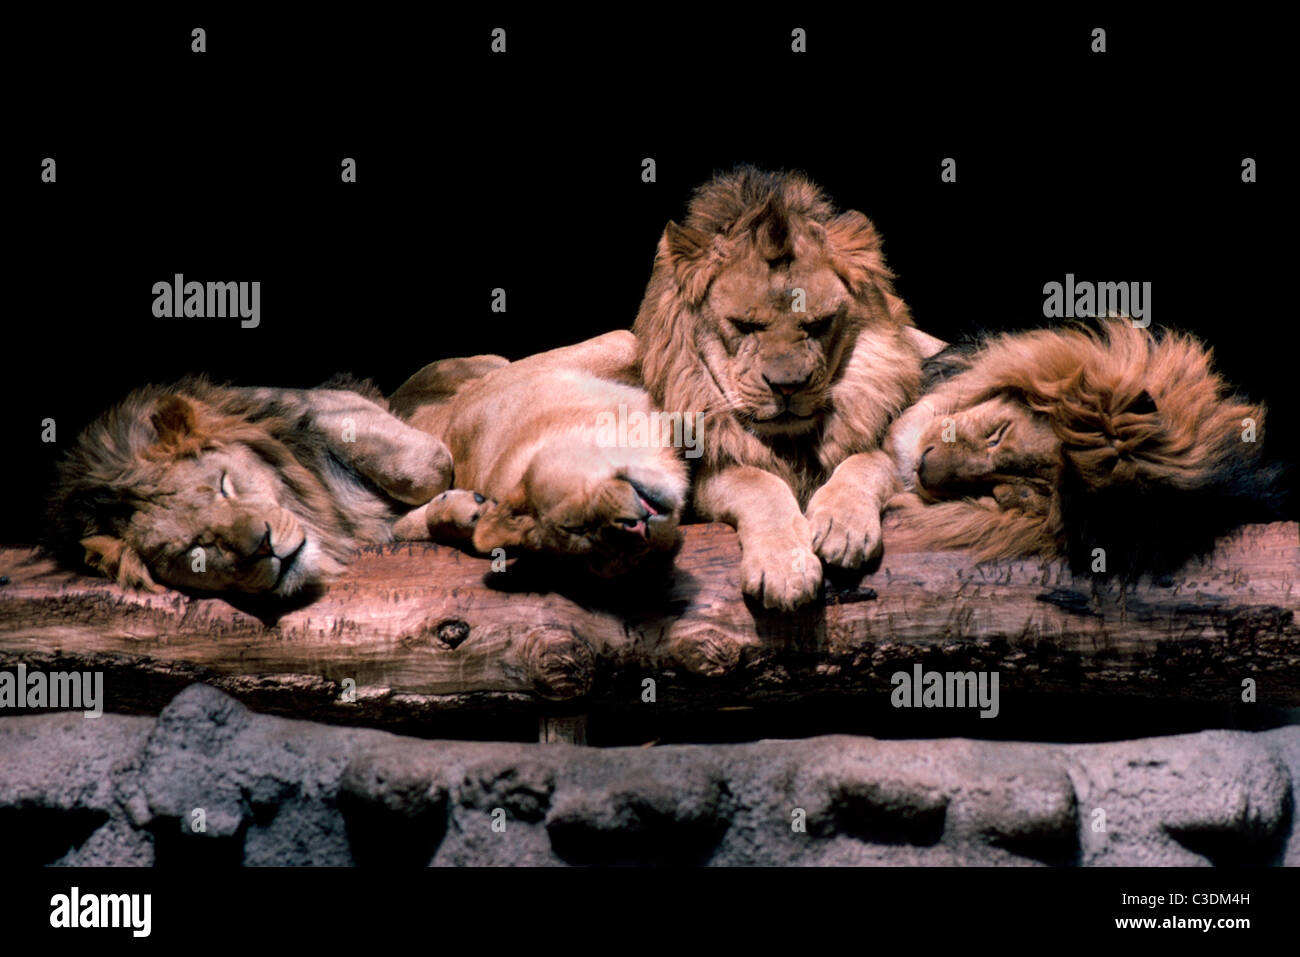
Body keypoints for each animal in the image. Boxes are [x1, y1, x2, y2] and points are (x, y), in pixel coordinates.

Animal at [632, 166, 934, 608]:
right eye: (744, 326)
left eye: (819, 324)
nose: (788, 387)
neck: (792, 443)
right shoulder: (709, 473)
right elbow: (757, 483)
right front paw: (785, 570)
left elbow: (868, 461)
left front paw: (842, 526)